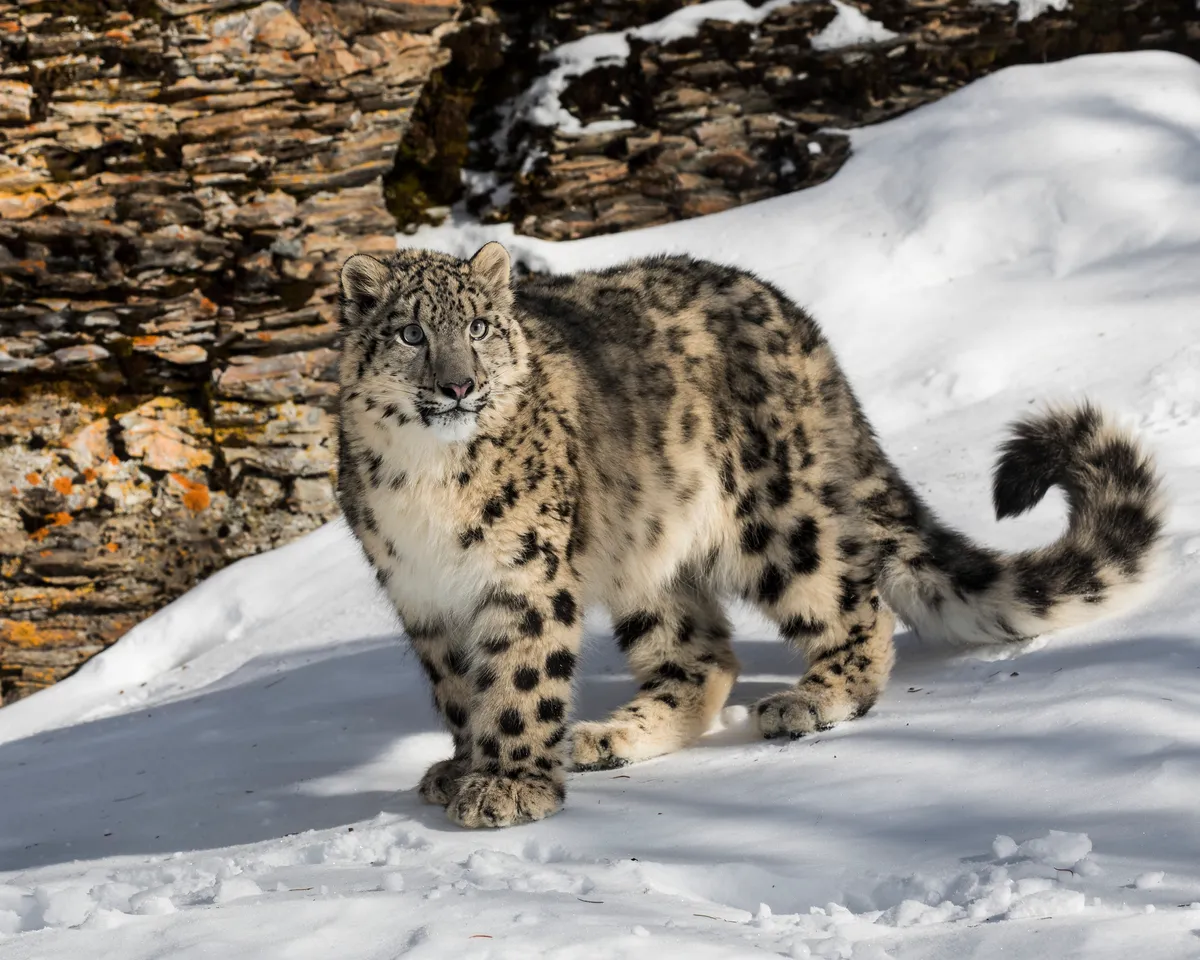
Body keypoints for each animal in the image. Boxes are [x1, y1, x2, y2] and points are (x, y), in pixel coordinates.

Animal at [336, 243, 1161, 830]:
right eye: (411, 333)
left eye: (478, 326)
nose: (459, 385)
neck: (427, 482)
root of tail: (790, 313)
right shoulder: (422, 596)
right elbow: (458, 690)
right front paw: (461, 766)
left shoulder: (524, 573)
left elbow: (518, 681)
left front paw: (507, 786)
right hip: (650, 557)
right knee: (702, 656)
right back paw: (611, 736)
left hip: (776, 516)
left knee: (853, 602)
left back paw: (814, 700)